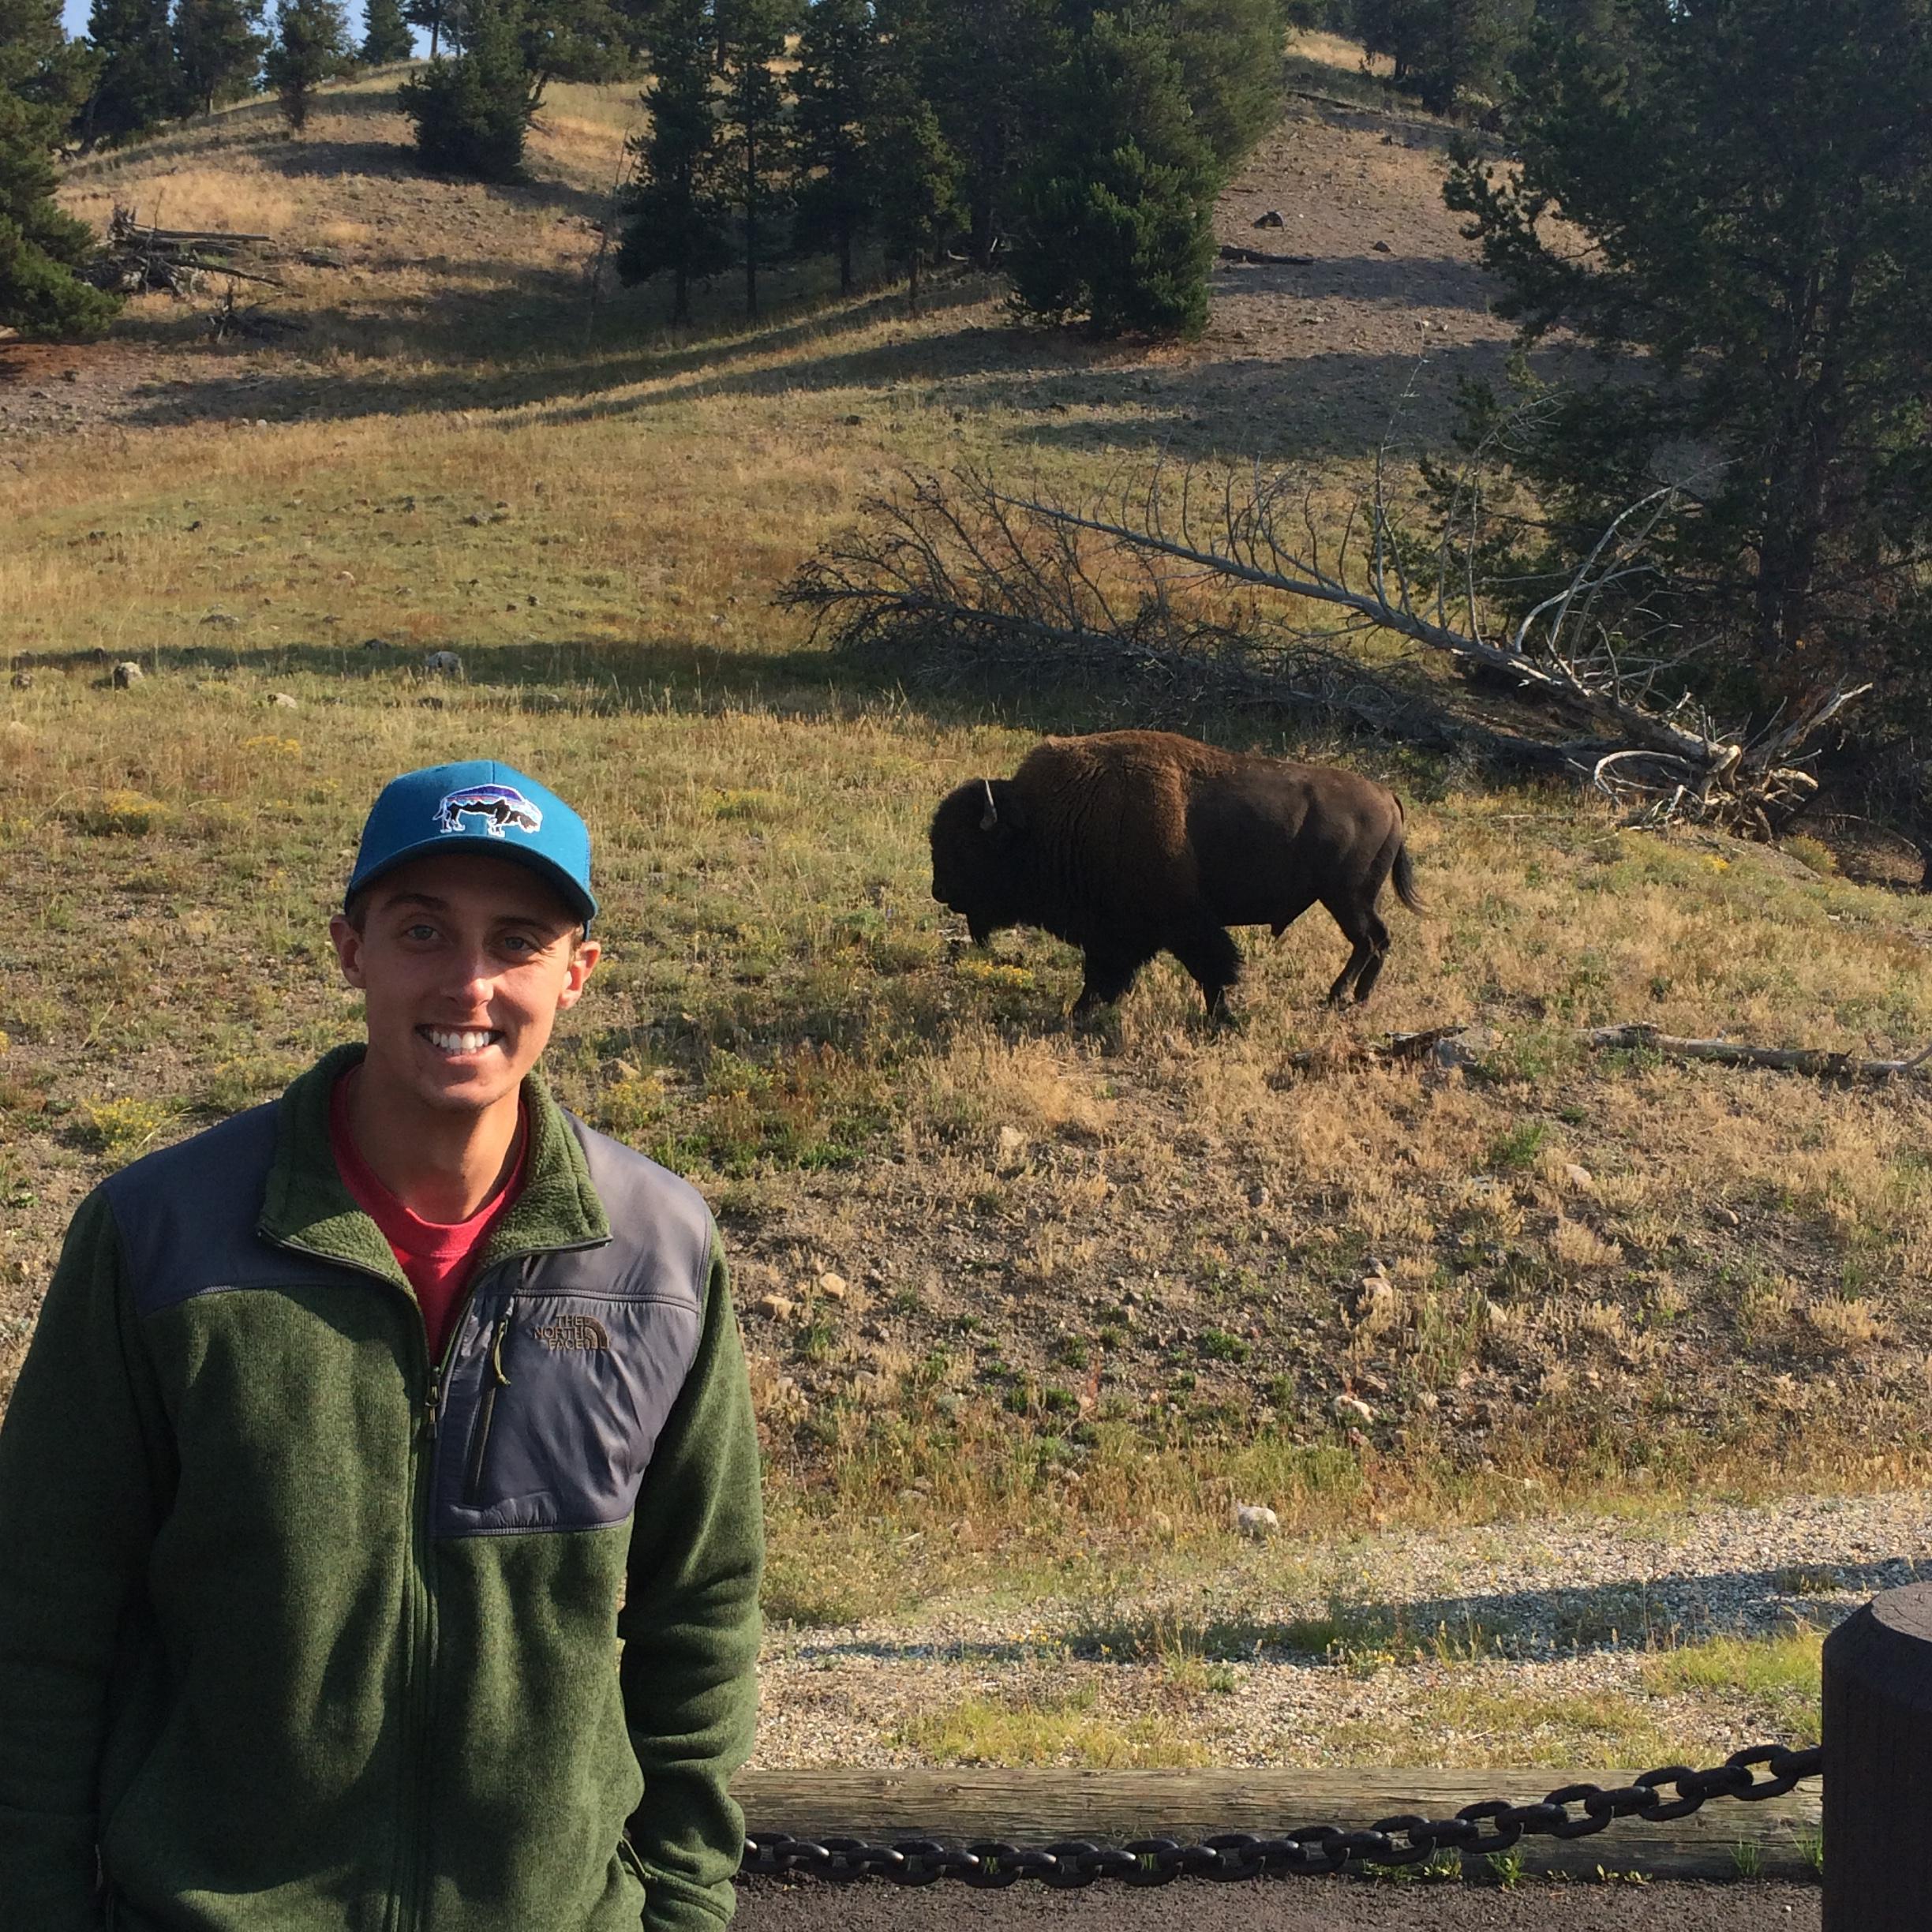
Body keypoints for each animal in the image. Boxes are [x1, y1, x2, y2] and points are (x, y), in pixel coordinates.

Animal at [929, 729, 1421, 1017]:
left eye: (967, 845)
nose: (939, 890)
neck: (1046, 819)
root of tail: (1388, 796)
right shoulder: (1113, 931)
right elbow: (1102, 974)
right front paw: (1082, 1014)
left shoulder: (1181, 924)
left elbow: (1212, 969)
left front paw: (1221, 1021)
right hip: (1352, 899)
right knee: (1375, 940)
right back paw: (1350, 997)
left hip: (1347, 898)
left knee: (1371, 940)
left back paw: (1342, 997)